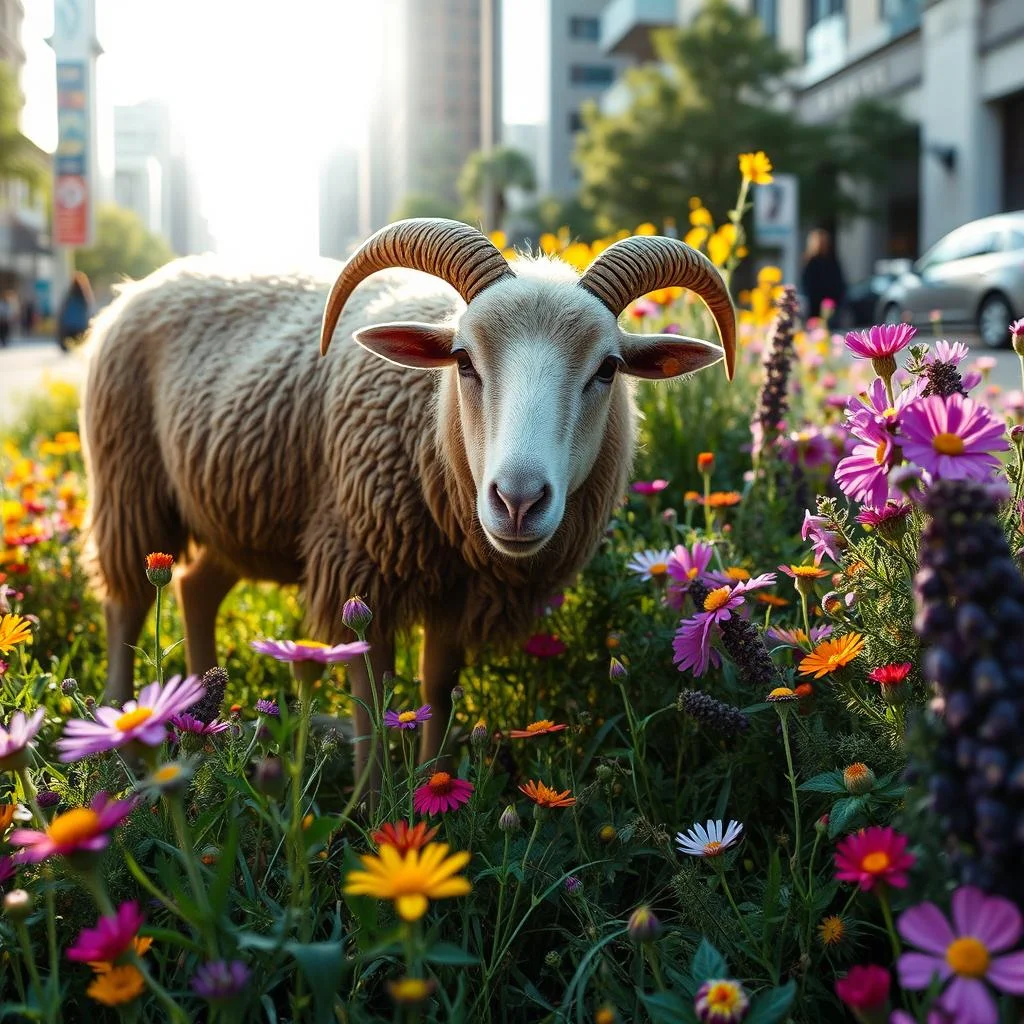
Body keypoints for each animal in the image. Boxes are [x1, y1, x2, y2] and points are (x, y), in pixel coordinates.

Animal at [80, 218, 736, 773]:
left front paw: (429, 790)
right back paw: (122, 738)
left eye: (607, 369)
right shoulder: (357, 569)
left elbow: (437, 688)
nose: (517, 502)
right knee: (127, 603)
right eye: (463, 360)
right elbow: (369, 700)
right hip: (129, 487)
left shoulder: (458, 593)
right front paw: (372, 810)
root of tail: (144, 283)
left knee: (195, 589)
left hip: (239, 513)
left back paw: (198, 720)